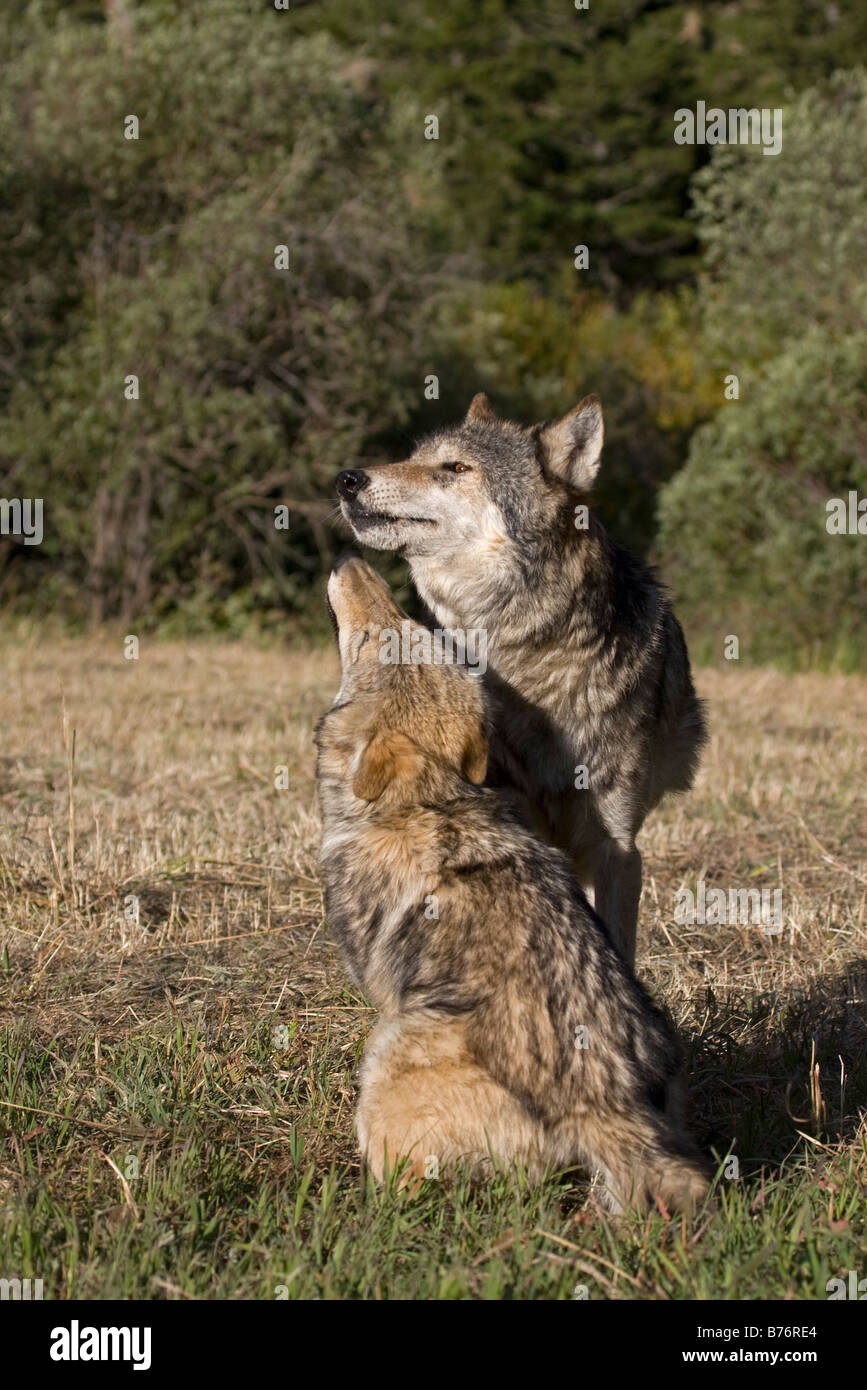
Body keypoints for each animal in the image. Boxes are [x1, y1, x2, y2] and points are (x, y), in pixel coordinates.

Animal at [314, 554, 710, 1212]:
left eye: (378, 638)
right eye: (401, 630)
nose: (350, 561)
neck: (429, 799)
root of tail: (605, 1107)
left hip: (385, 1055)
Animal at [335, 394, 706, 966]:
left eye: (456, 468)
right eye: (412, 458)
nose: (347, 479)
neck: (530, 666)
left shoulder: (618, 845)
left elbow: (617, 943)